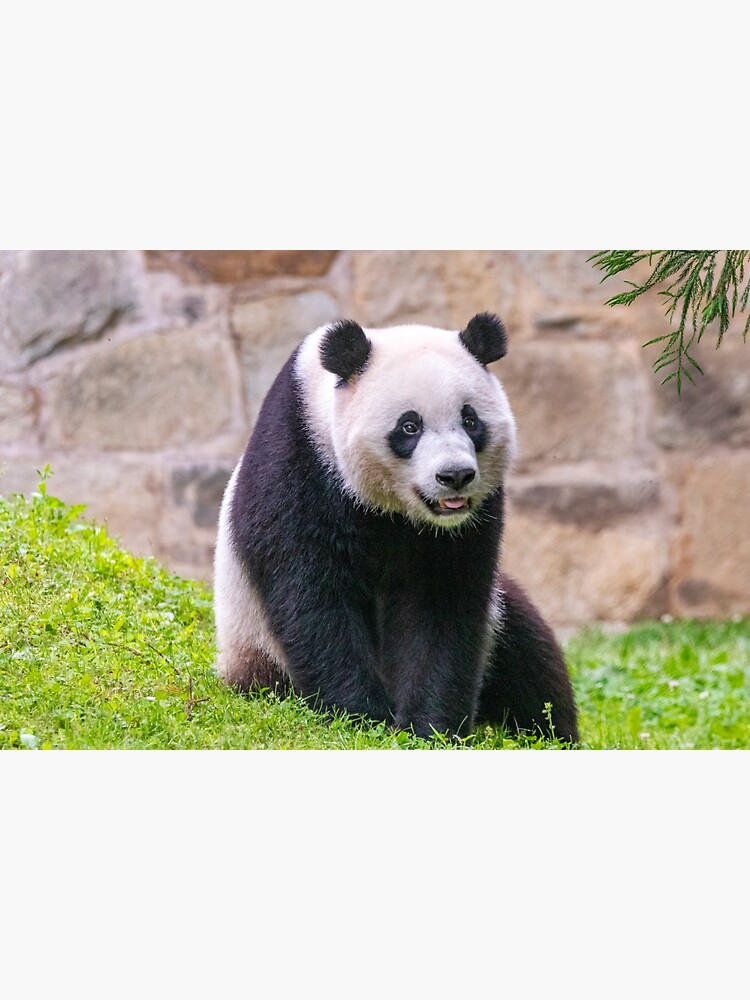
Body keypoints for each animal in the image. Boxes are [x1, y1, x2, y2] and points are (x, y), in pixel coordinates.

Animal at [214, 312, 578, 743]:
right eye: (409, 427)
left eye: (470, 420)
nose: (455, 476)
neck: (392, 509)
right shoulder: (299, 462)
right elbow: (312, 594)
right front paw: (359, 717)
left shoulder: (465, 527)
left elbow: (441, 607)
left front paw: (430, 729)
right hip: (252, 644)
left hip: (500, 615)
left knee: (530, 660)